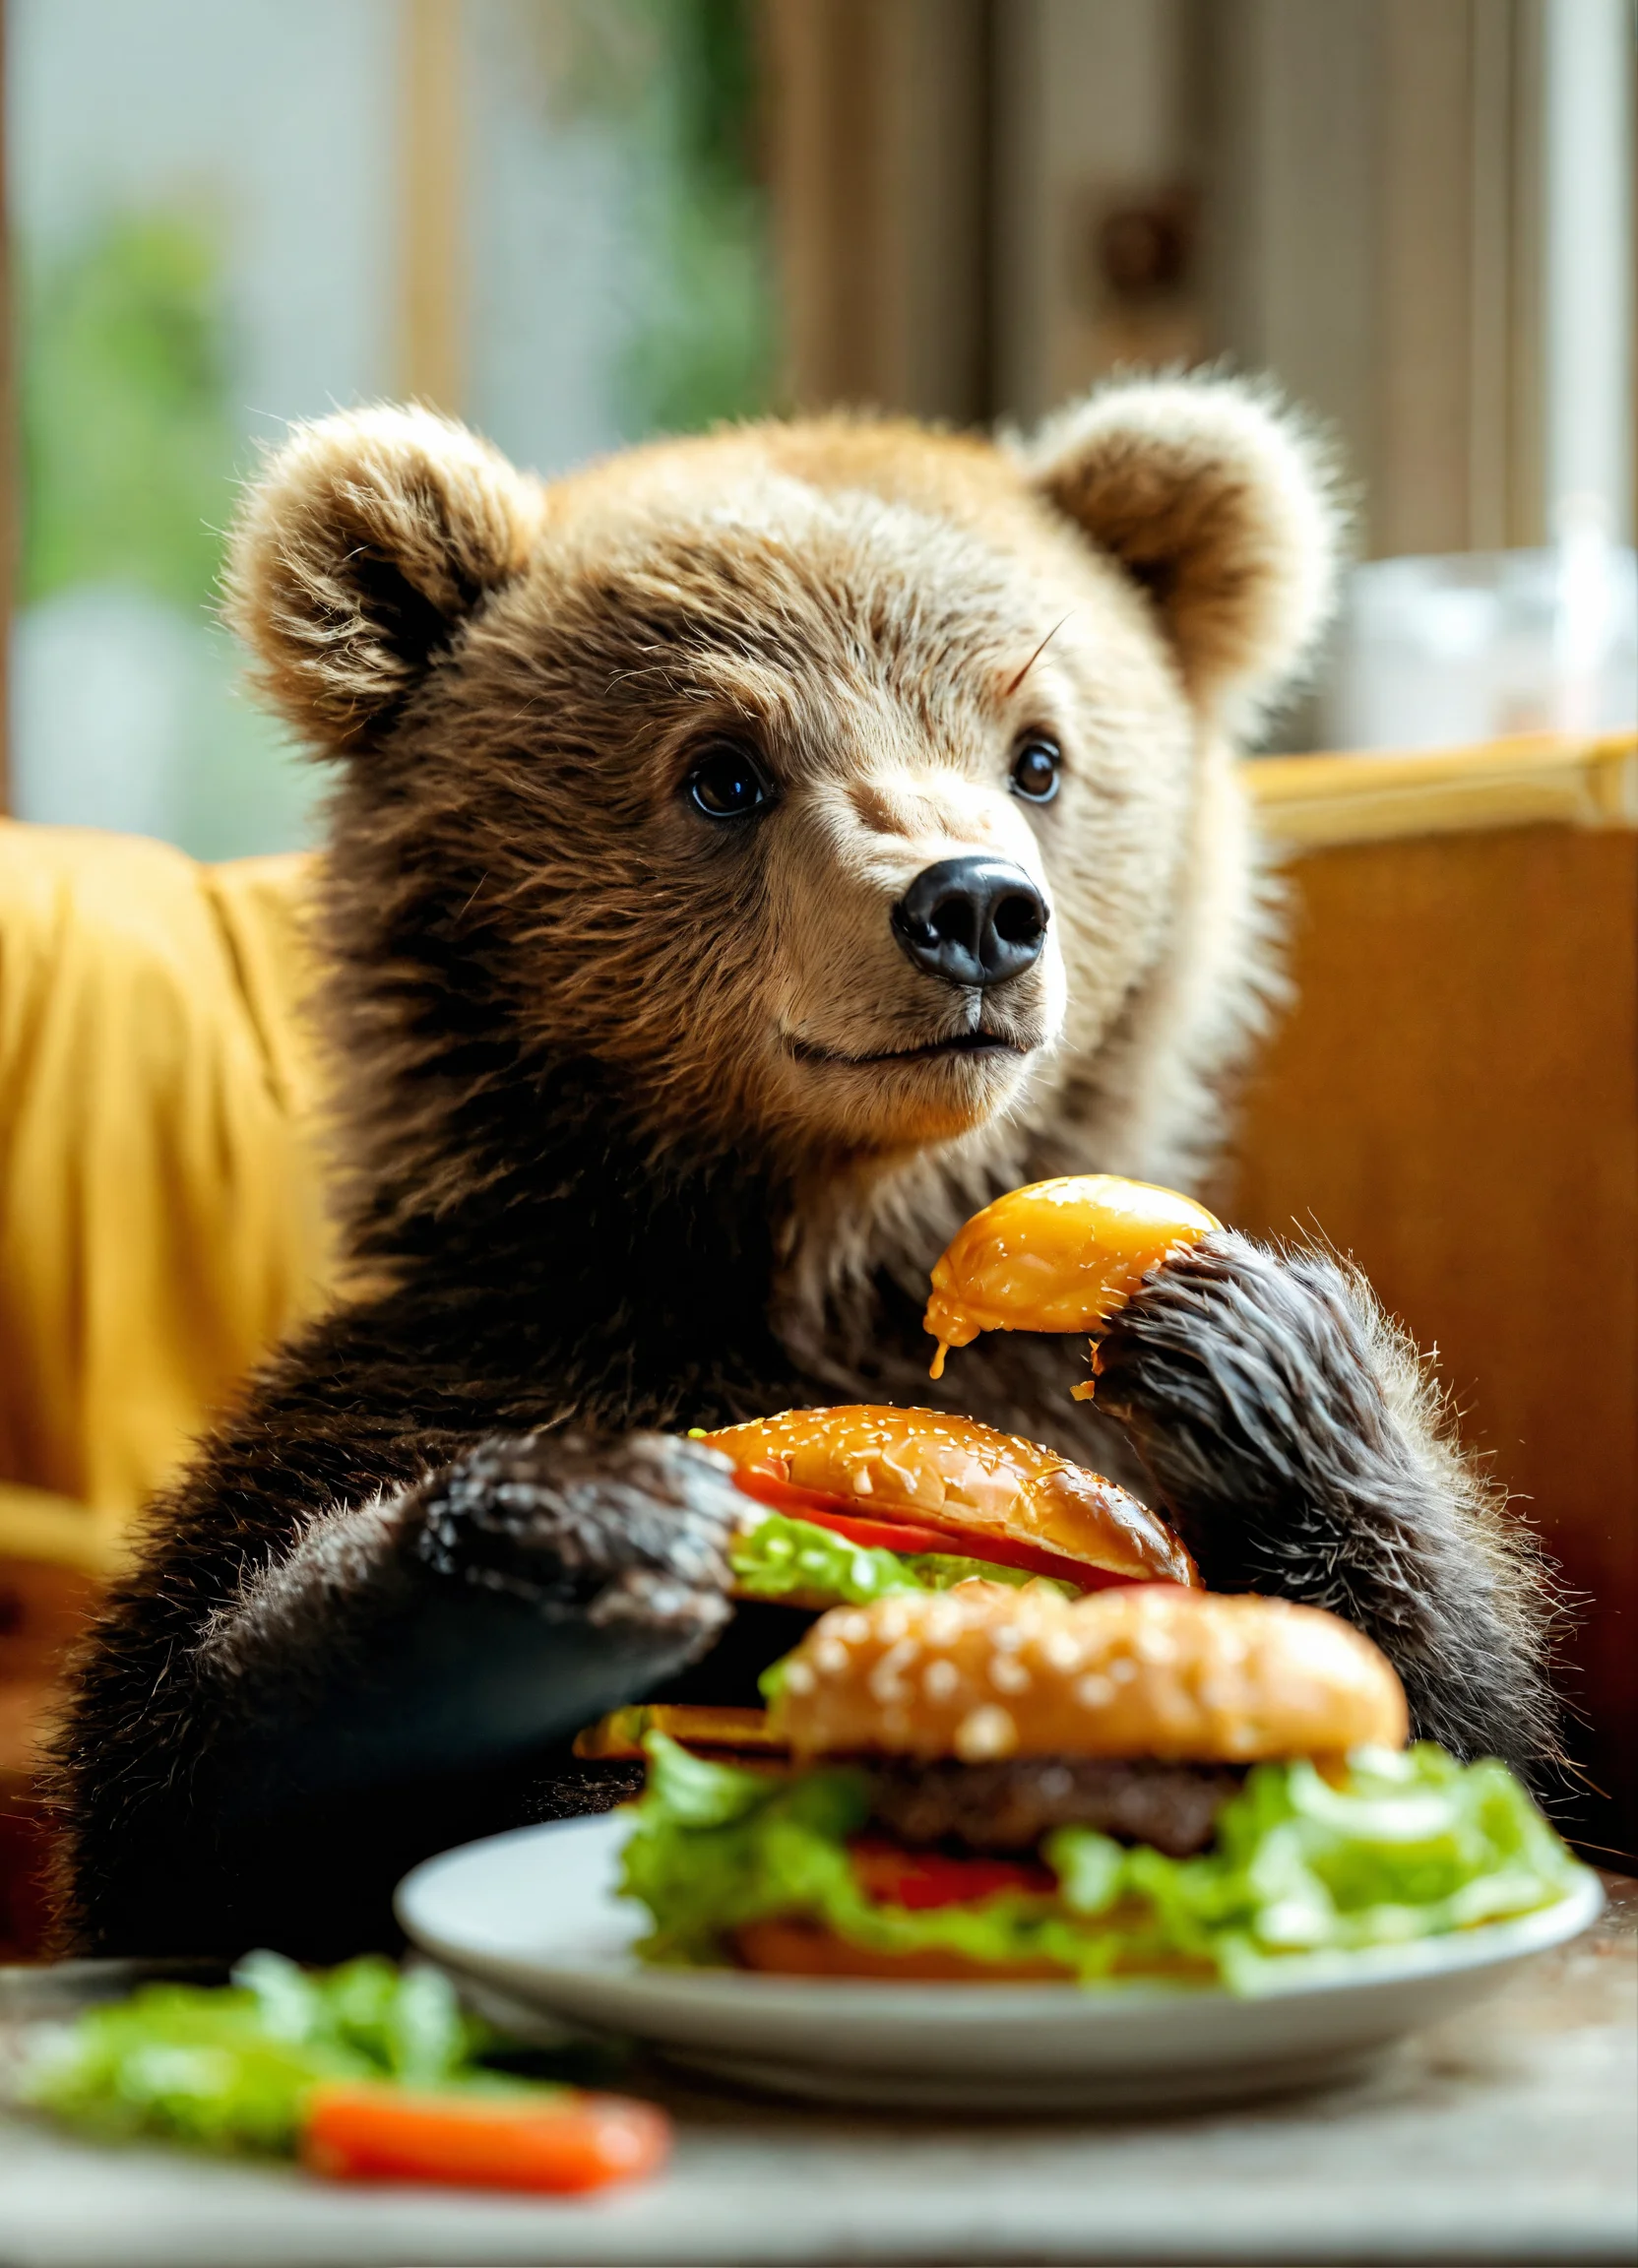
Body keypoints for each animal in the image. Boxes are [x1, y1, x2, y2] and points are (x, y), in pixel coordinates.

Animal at [47, 377, 1557, 1961]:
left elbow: (1460, 1716)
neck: (817, 1256)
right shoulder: (447, 1362)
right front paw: (565, 1532)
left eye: (1038, 752)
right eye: (722, 771)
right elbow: (181, 1772)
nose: (971, 907)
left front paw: (1245, 1346)